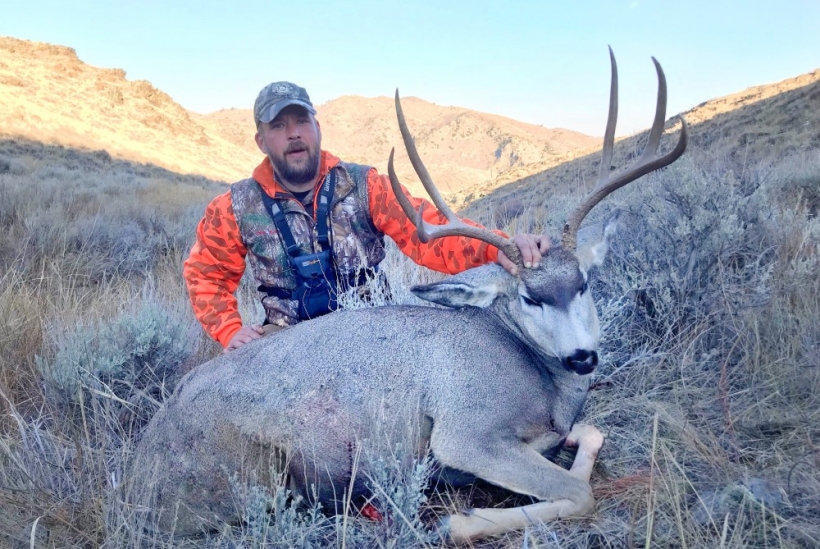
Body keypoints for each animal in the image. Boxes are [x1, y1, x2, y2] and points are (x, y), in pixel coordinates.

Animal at [130, 49, 688, 542]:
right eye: (529, 297)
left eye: (584, 283)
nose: (582, 357)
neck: (539, 378)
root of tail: (141, 474)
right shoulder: (466, 430)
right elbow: (579, 491)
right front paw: (457, 522)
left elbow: (591, 435)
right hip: (258, 476)